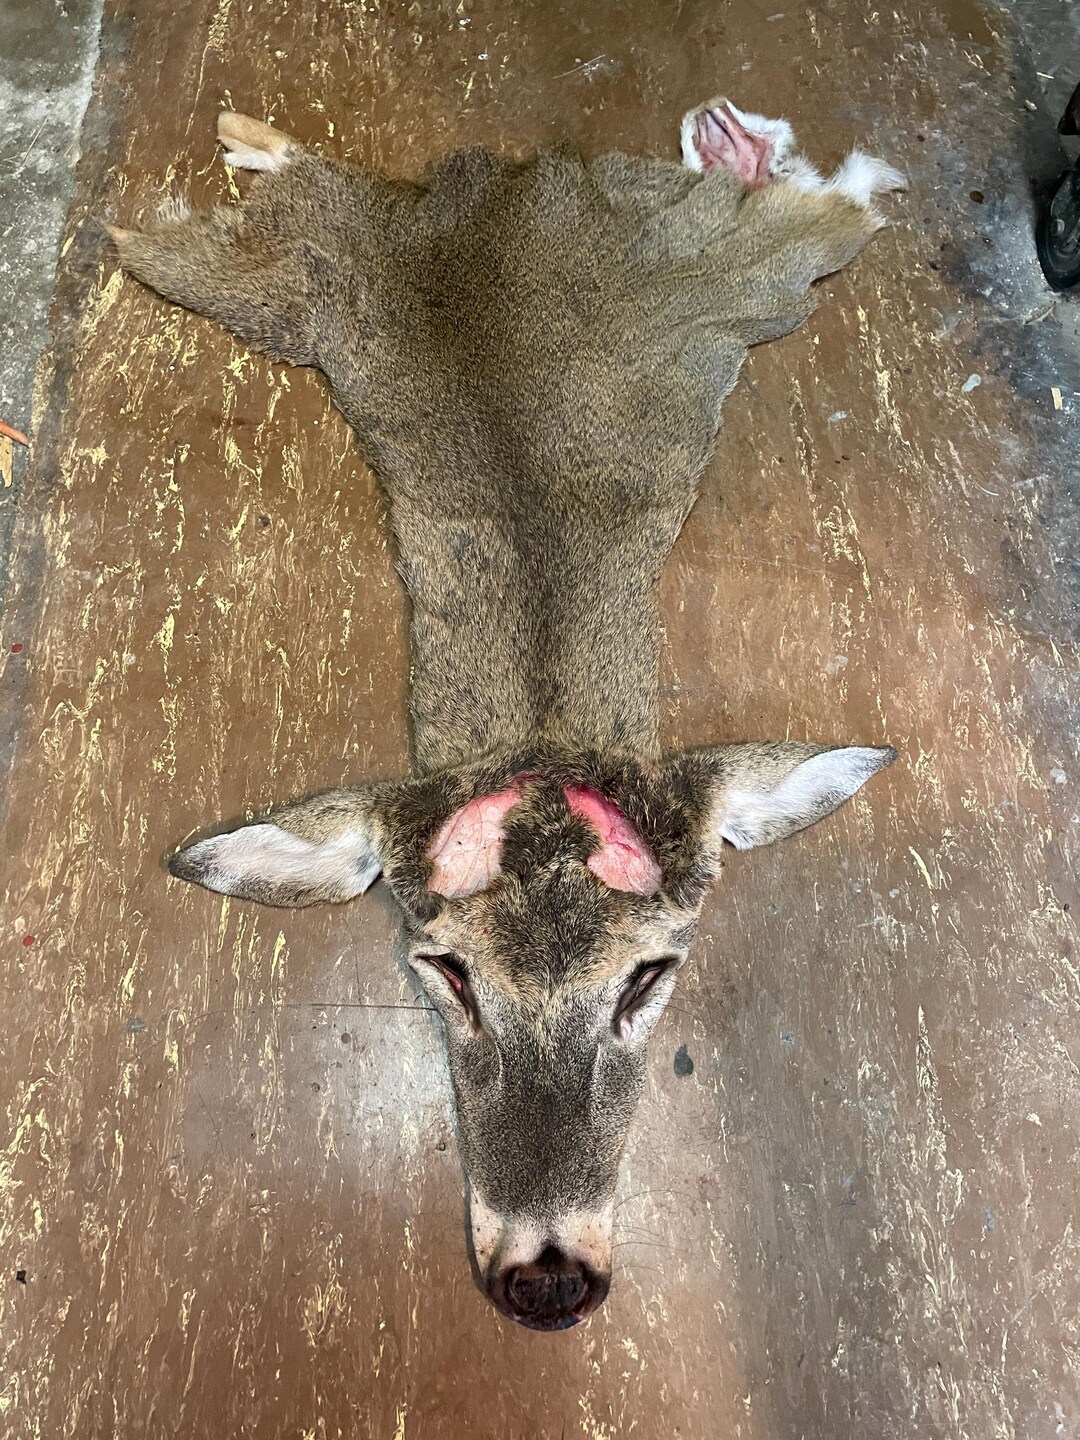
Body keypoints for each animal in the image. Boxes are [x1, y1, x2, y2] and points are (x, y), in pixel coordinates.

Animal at [108, 96, 902, 1331]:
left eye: (650, 976)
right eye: (447, 972)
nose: (549, 1279)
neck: (538, 729)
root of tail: (500, 191)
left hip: (731, 278)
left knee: (837, 201)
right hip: (302, 290)